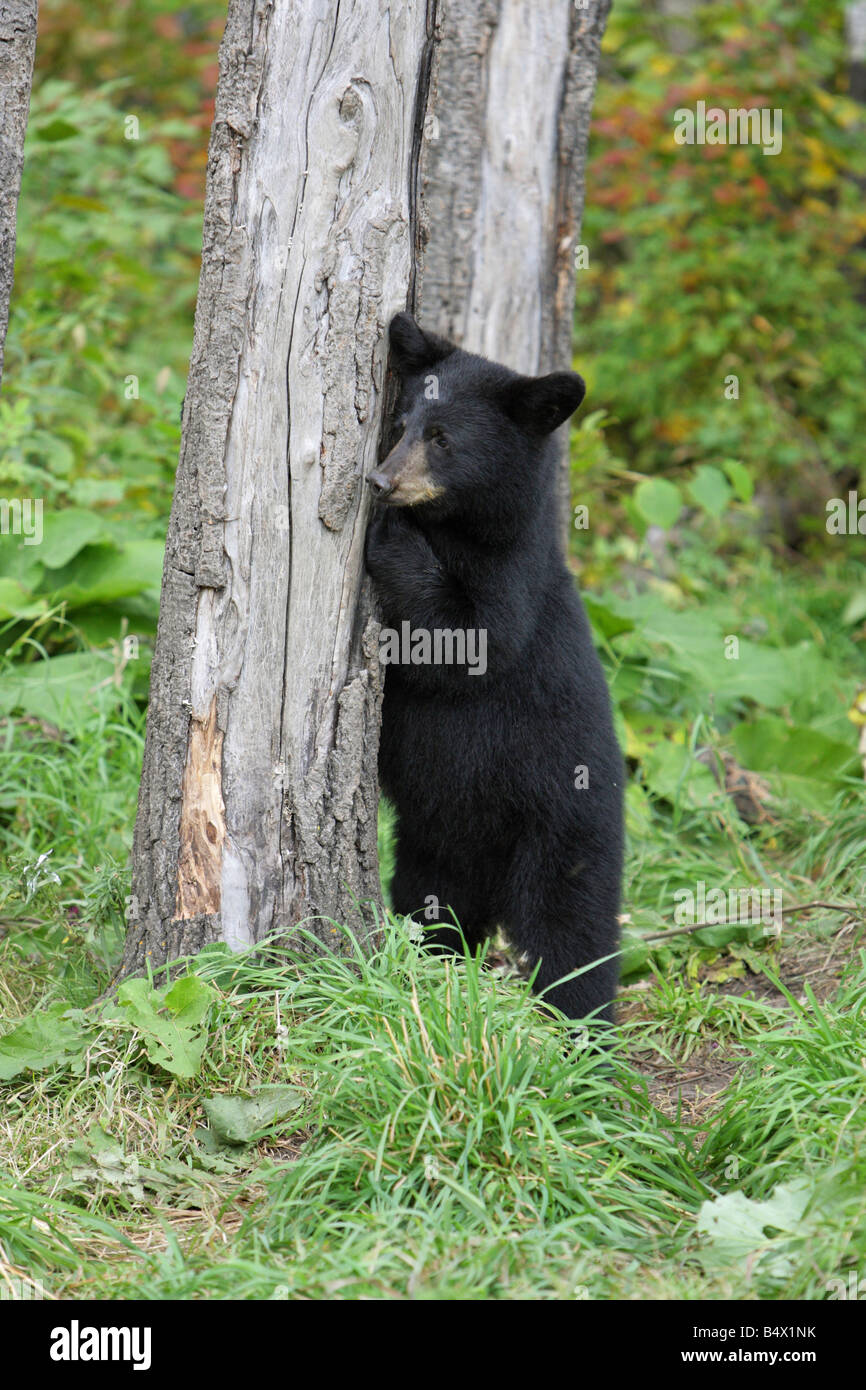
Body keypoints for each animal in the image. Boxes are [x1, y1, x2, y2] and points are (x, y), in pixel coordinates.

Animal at [364, 312, 624, 1027]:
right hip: (439, 842)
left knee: (574, 939)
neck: (460, 527)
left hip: (564, 830)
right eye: (401, 423)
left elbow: (463, 642)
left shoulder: (512, 585)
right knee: (434, 905)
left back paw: (584, 1033)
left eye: (443, 438)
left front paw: (391, 531)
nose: (380, 481)